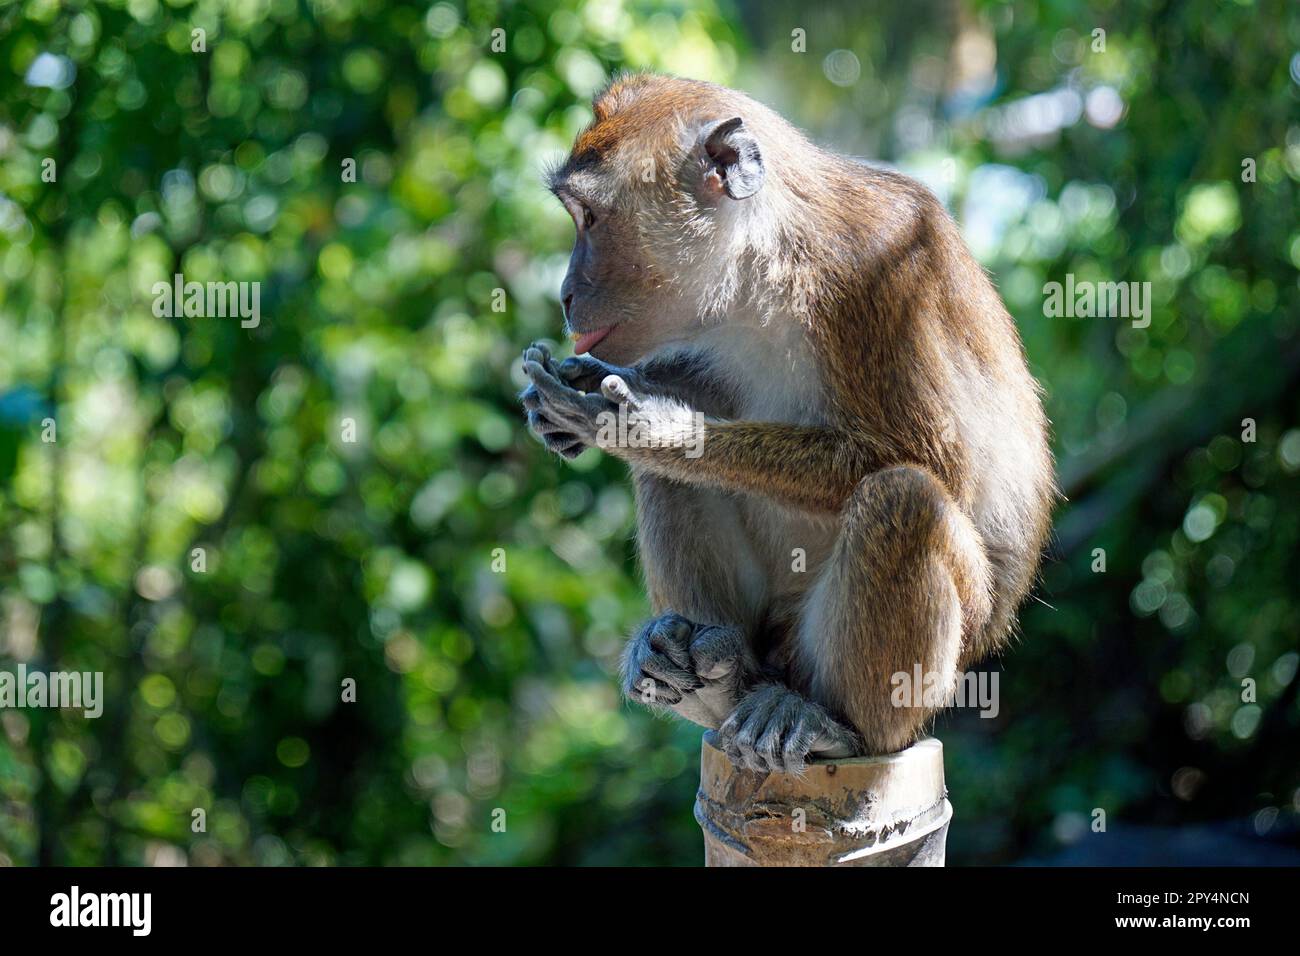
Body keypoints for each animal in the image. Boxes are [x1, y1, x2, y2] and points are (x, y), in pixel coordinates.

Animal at [520, 74, 1056, 774]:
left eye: (588, 218)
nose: (563, 292)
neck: (767, 259)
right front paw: (585, 387)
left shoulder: (881, 276)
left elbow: (938, 463)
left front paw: (656, 432)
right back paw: (711, 680)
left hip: (923, 656)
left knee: (905, 500)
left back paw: (836, 725)